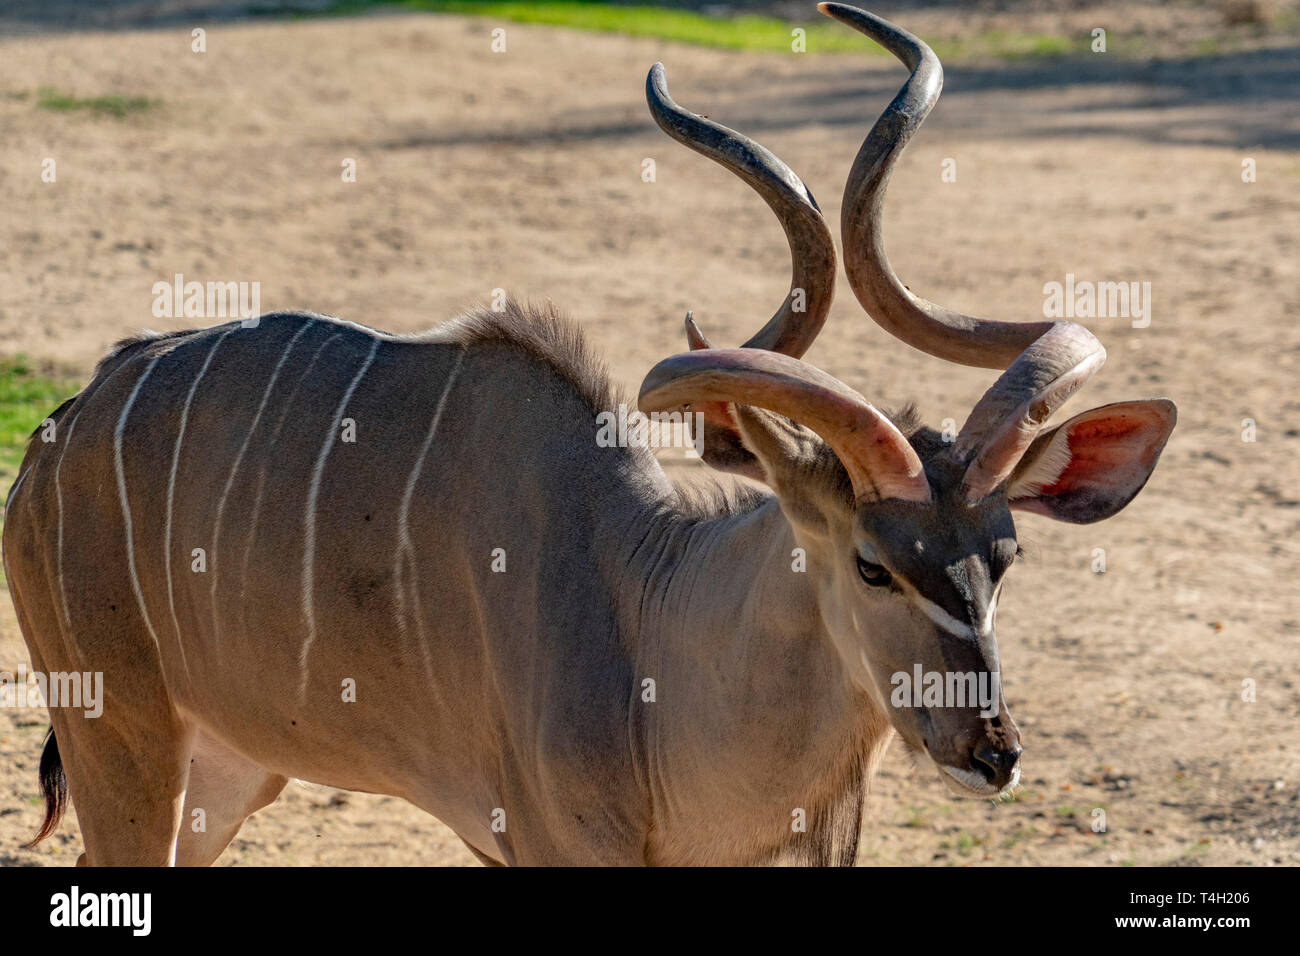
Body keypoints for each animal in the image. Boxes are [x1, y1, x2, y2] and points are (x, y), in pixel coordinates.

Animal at [3, 3, 1174, 866]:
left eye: (1004, 556)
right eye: (872, 564)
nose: (992, 751)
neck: (654, 623)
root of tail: (61, 425)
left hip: (227, 770)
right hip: (122, 739)